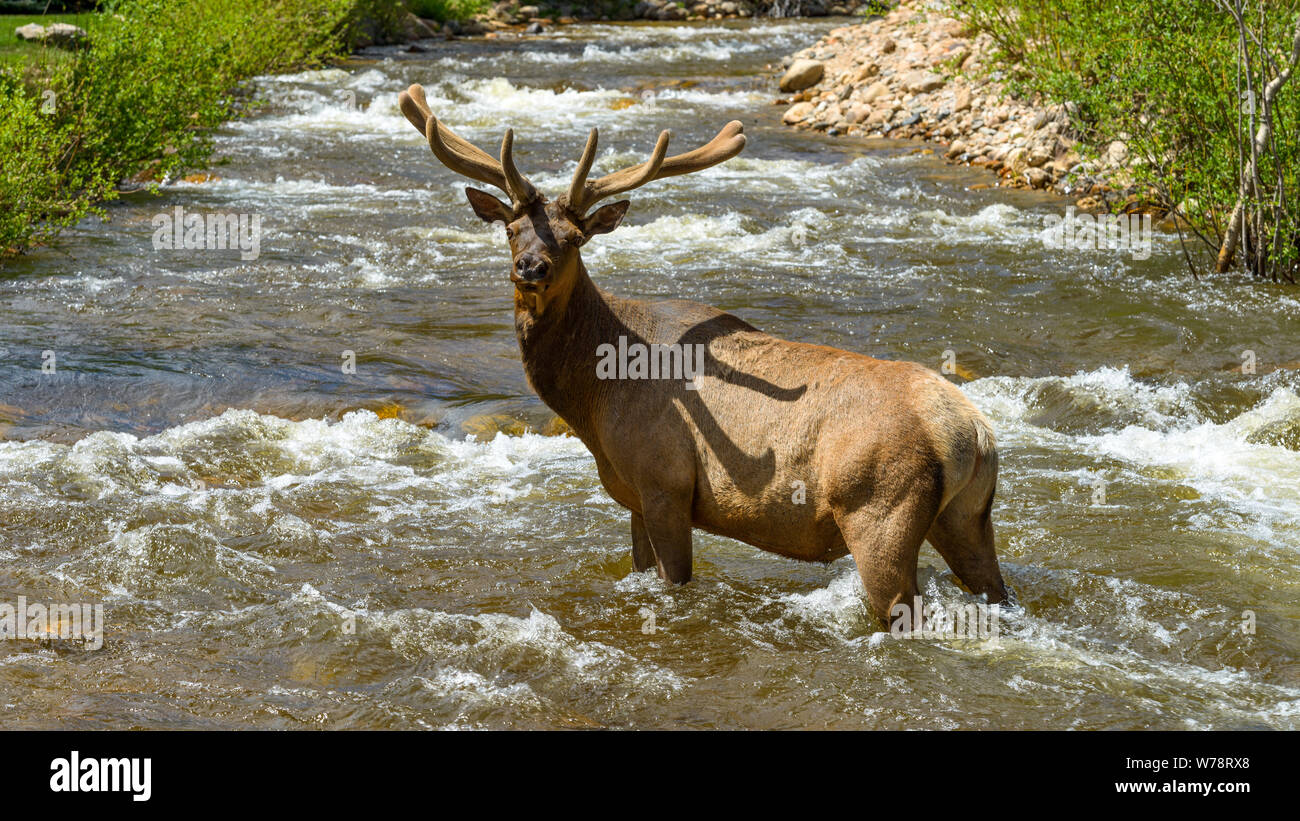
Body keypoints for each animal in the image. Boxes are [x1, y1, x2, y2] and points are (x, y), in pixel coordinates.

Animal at [397, 84, 1010, 627]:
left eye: (574, 238)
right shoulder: (635, 496)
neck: (593, 398)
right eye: (511, 229)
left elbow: (676, 579)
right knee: (996, 589)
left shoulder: (666, 484)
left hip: (878, 513)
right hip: (968, 517)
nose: (531, 267)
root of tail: (971, 433)